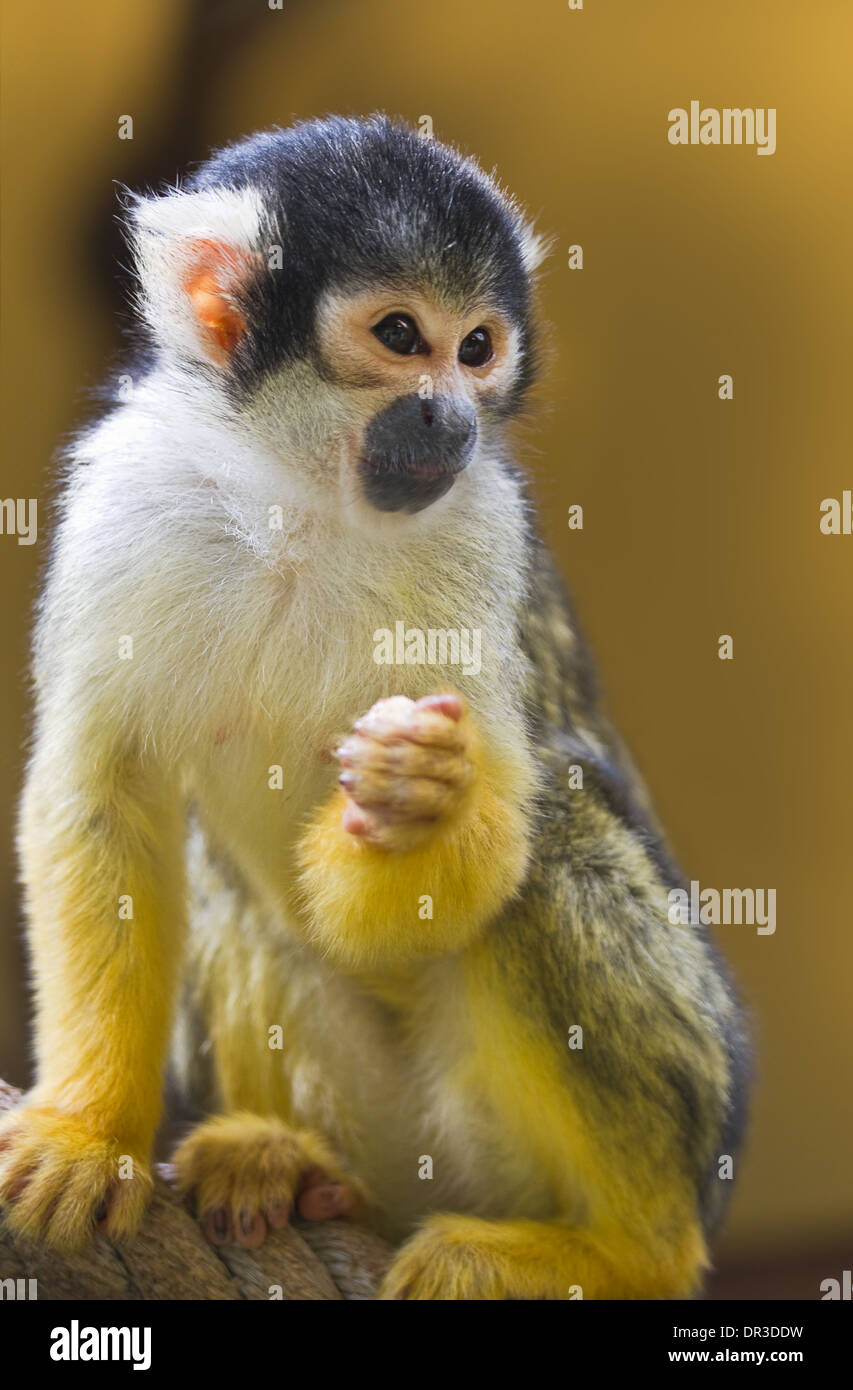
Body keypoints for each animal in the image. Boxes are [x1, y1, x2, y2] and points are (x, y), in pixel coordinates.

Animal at [0, 115, 749, 1299]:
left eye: (477, 347)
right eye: (402, 335)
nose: (449, 412)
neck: (301, 497)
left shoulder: (480, 524)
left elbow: (489, 850)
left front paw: (421, 802)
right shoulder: (127, 491)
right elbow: (102, 791)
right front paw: (87, 1135)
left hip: (592, 1125)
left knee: (558, 834)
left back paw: (621, 1249)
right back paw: (293, 1166)